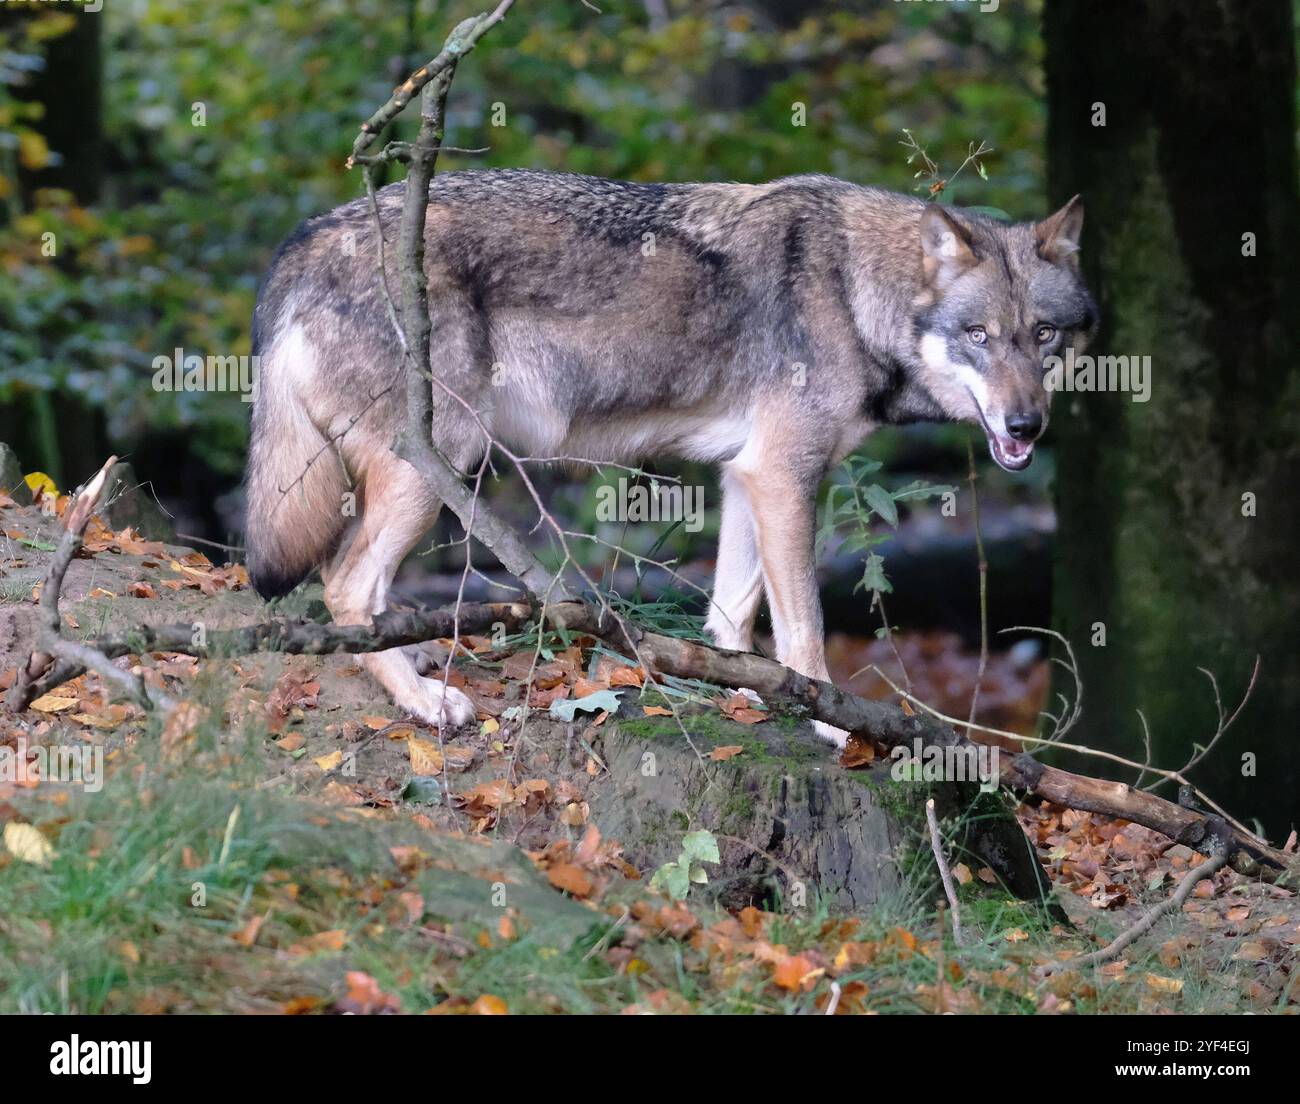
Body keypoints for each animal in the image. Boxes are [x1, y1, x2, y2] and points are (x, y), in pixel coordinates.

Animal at [244, 170, 1095, 745]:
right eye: (979, 336)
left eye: (1043, 336)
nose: (1026, 424)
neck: (857, 294)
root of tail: (301, 241)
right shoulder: (784, 477)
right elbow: (805, 628)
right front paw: (831, 721)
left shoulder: (747, 476)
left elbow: (732, 616)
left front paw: (750, 694)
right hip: (438, 463)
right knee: (342, 582)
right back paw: (422, 701)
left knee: (354, 582)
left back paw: (414, 656)